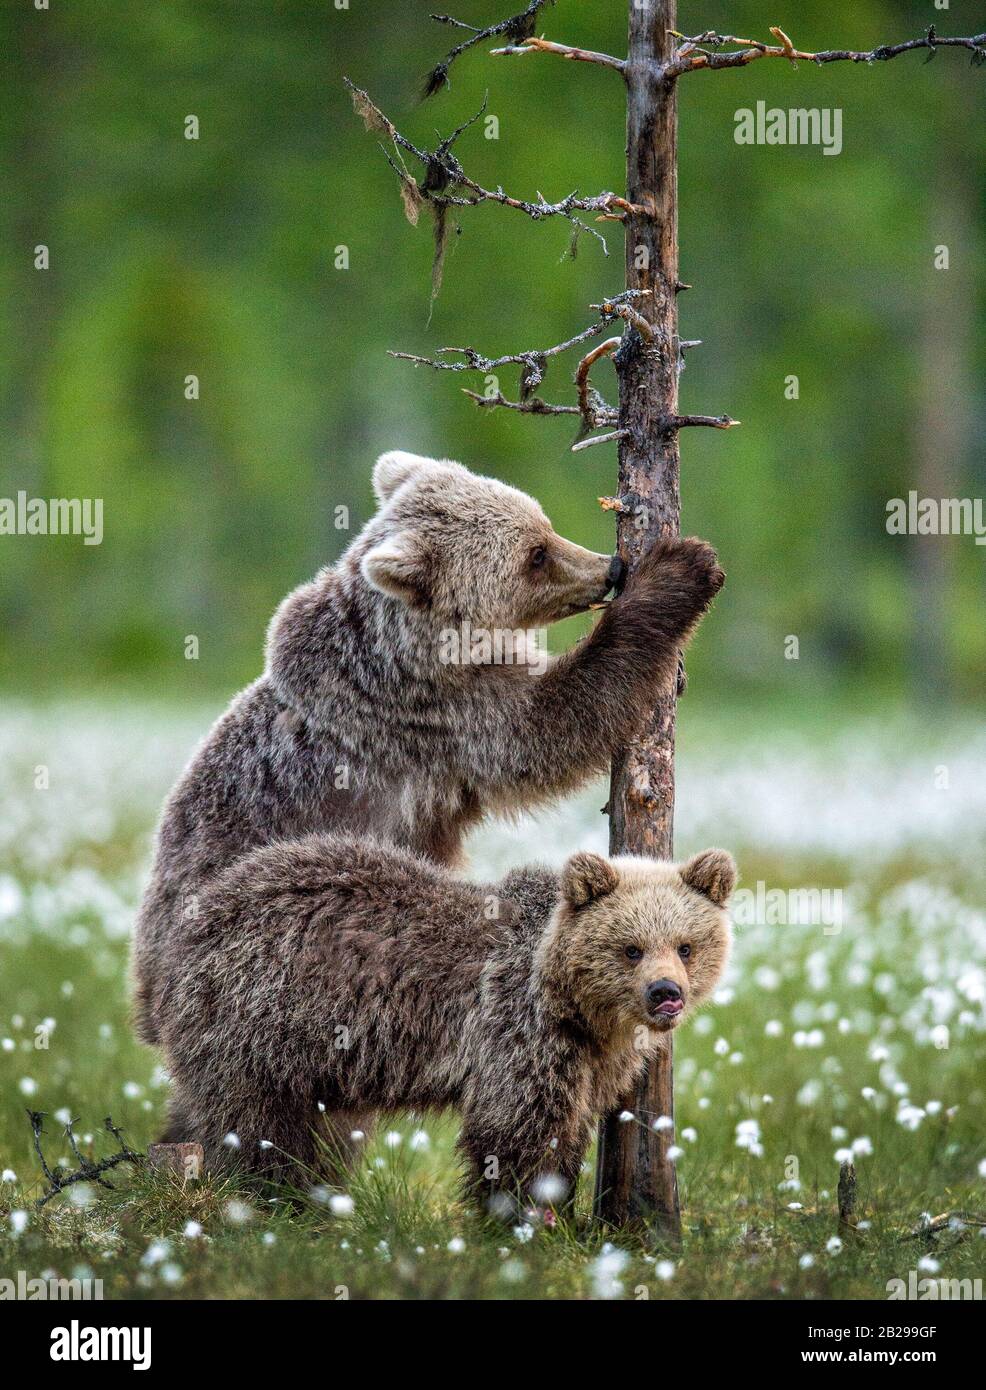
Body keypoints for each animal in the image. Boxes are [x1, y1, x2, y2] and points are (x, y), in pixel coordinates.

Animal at [133, 451, 725, 1045]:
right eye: (534, 556)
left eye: (545, 525)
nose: (611, 568)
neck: (426, 649)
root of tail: (150, 1010)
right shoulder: (437, 718)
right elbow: (552, 724)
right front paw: (682, 570)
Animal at [157, 833, 736, 1209]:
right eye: (631, 948)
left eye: (686, 946)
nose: (666, 993)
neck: (578, 1008)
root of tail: (205, 908)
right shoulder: (519, 1034)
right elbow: (517, 1135)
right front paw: (520, 1222)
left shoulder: (592, 1063)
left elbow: (569, 1132)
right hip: (259, 1020)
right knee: (255, 1123)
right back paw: (270, 1197)